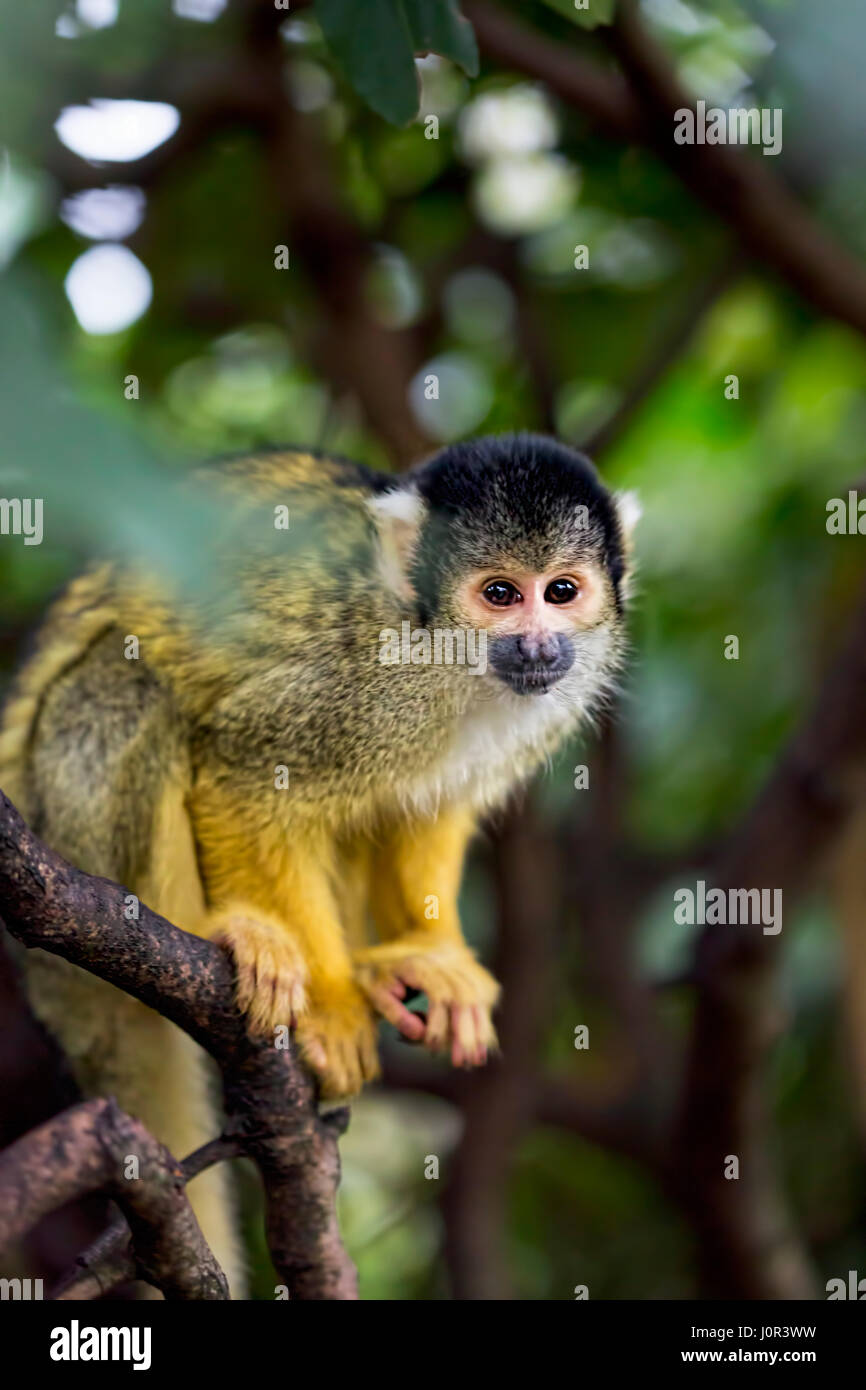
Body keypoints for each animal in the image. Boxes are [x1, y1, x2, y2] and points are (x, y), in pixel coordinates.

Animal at [0, 432, 638, 1295]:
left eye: (562, 591)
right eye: (501, 593)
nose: (539, 644)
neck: (454, 659)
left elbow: (430, 809)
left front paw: (431, 954)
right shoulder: (367, 684)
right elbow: (248, 772)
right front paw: (330, 1007)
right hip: (61, 829)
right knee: (126, 683)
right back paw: (216, 929)